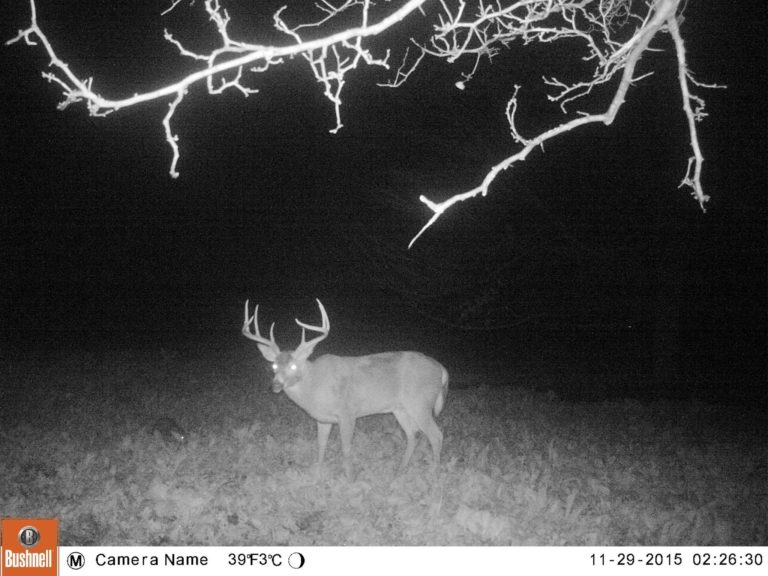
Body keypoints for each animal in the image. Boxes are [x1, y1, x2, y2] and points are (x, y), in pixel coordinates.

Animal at [242, 299, 449, 477]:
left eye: (293, 366)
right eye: (273, 366)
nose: (275, 385)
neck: (315, 385)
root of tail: (441, 368)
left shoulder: (347, 412)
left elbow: (346, 448)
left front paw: (350, 478)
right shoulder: (323, 419)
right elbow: (321, 446)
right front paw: (317, 476)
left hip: (420, 403)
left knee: (436, 435)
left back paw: (434, 475)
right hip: (400, 408)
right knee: (414, 435)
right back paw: (400, 472)